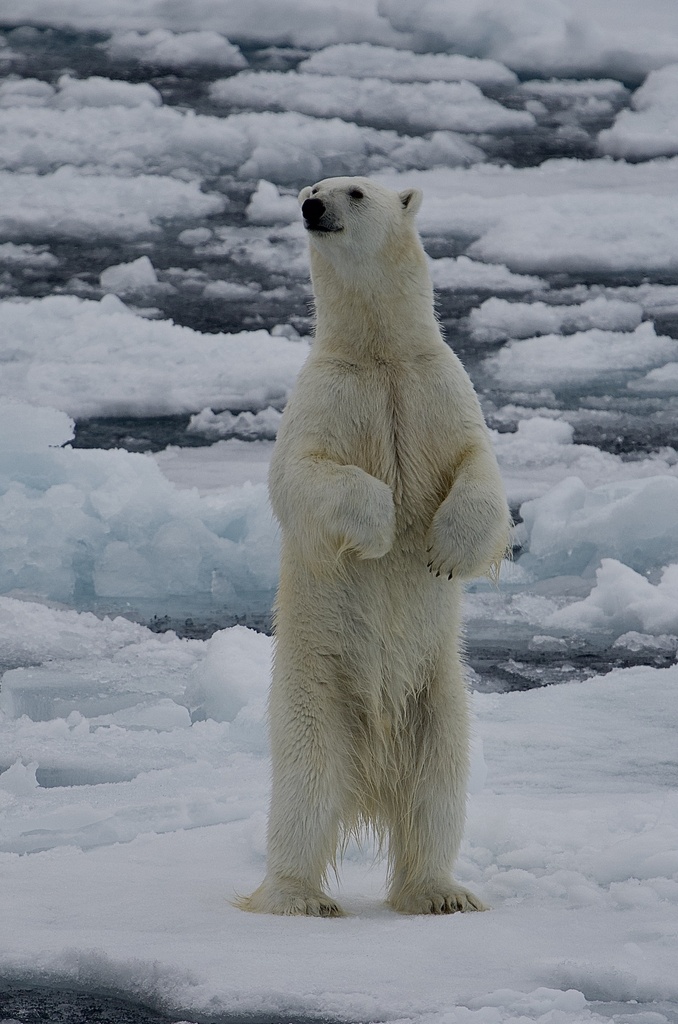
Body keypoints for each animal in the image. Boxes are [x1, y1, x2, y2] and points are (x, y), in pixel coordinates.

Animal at [239, 176, 511, 916]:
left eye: (354, 191)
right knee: (306, 792)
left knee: (437, 792)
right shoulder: (328, 393)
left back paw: (440, 892)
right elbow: (301, 474)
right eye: (310, 187)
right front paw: (383, 524)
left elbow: (480, 466)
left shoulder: (437, 386)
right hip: (314, 691)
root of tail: (374, 776)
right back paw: (297, 897)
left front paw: (444, 550)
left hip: (438, 696)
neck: (380, 352)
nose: (311, 208)